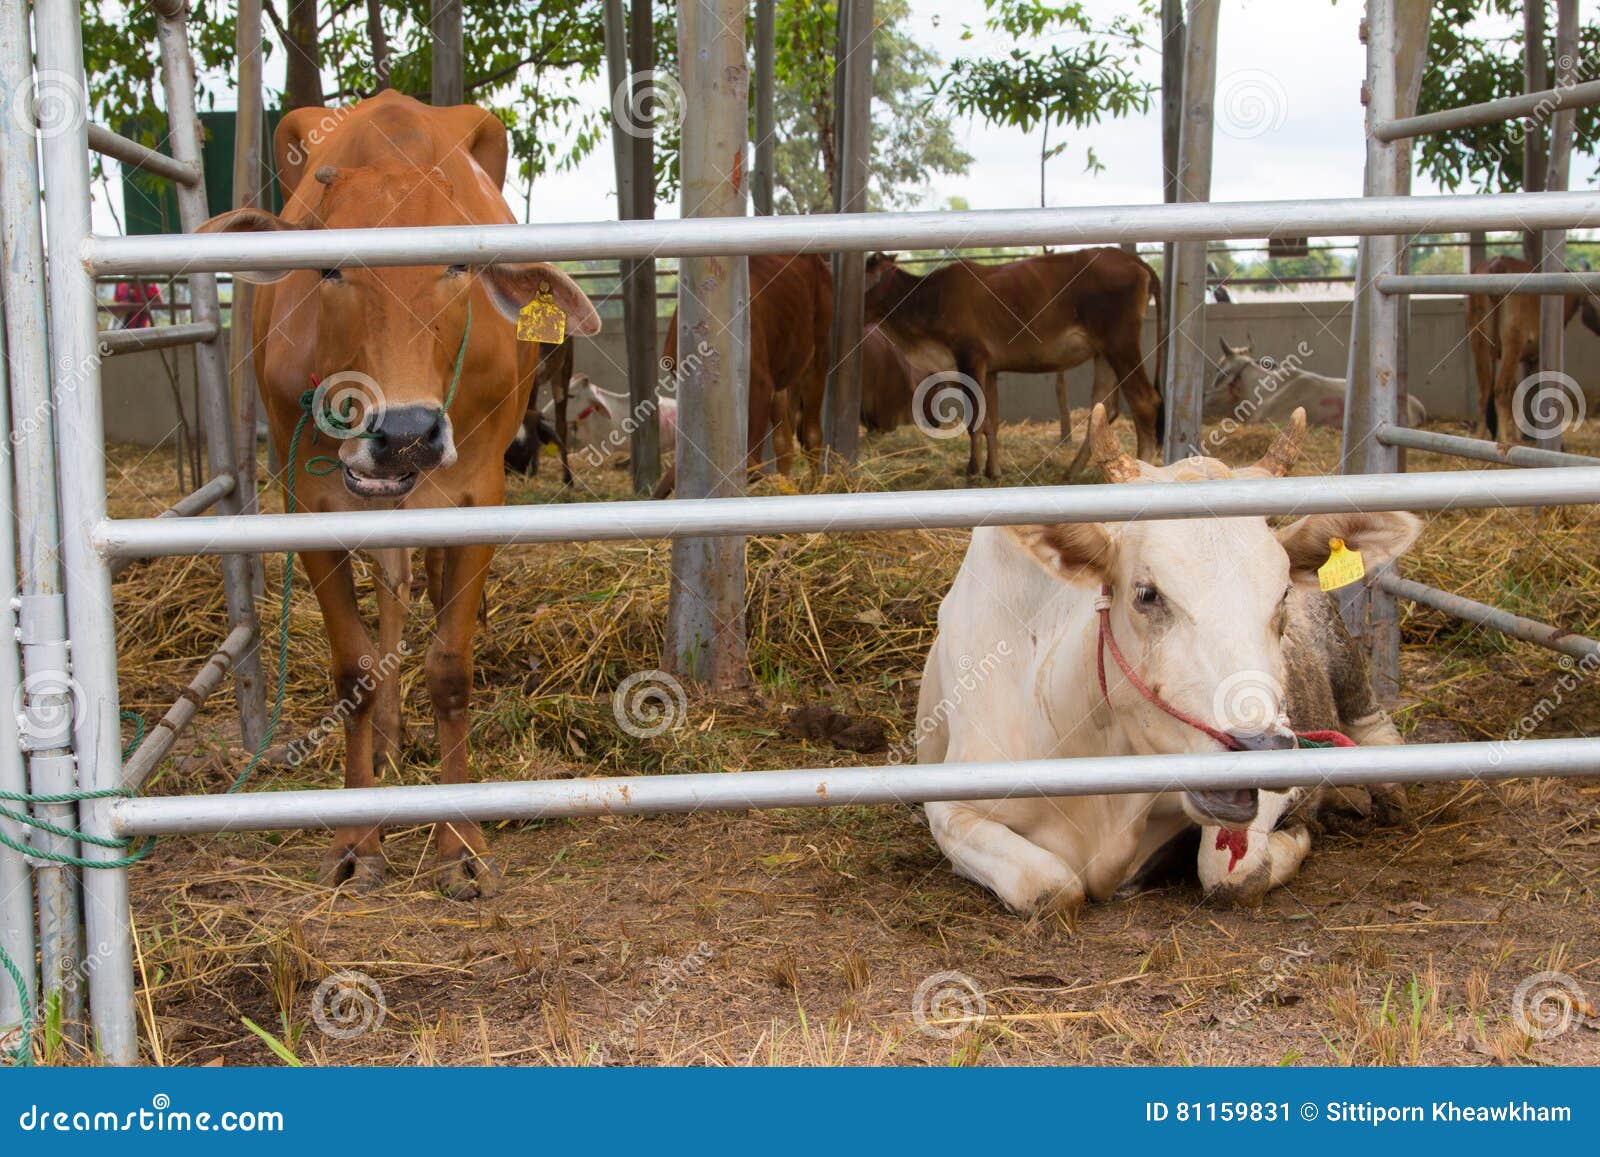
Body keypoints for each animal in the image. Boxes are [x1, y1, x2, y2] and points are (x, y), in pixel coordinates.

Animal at [199, 90, 600, 899]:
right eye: (328, 268)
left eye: (457, 264)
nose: (407, 432)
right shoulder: (309, 504)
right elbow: (353, 667)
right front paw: (360, 840)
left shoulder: (479, 494)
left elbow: (450, 667)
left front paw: (460, 845)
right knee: (390, 592)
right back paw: (386, 739)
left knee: (423, 587)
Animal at [863, 248, 1164, 480]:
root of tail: (1130, 258)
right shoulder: (991, 369)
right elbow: (991, 421)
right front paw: (993, 471)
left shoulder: (970, 357)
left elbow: (974, 420)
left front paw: (973, 471)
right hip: (1103, 353)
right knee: (1103, 408)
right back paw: (1071, 473)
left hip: (1120, 343)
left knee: (1144, 401)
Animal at [916, 405, 1420, 914]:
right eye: (1146, 593)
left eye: (1281, 595)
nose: (1258, 748)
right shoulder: (948, 806)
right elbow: (1050, 889)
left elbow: (1232, 873)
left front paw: (1298, 834)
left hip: (1345, 664)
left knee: (1375, 726)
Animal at [1466, 255, 1600, 439]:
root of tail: (1498, 263)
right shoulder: (1535, 357)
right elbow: (1534, 391)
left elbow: (1517, 390)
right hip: (1513, 343)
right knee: (1500, 391)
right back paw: (1503, 440)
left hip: (1479, 343)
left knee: (1486, 391)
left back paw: (1480, 437)